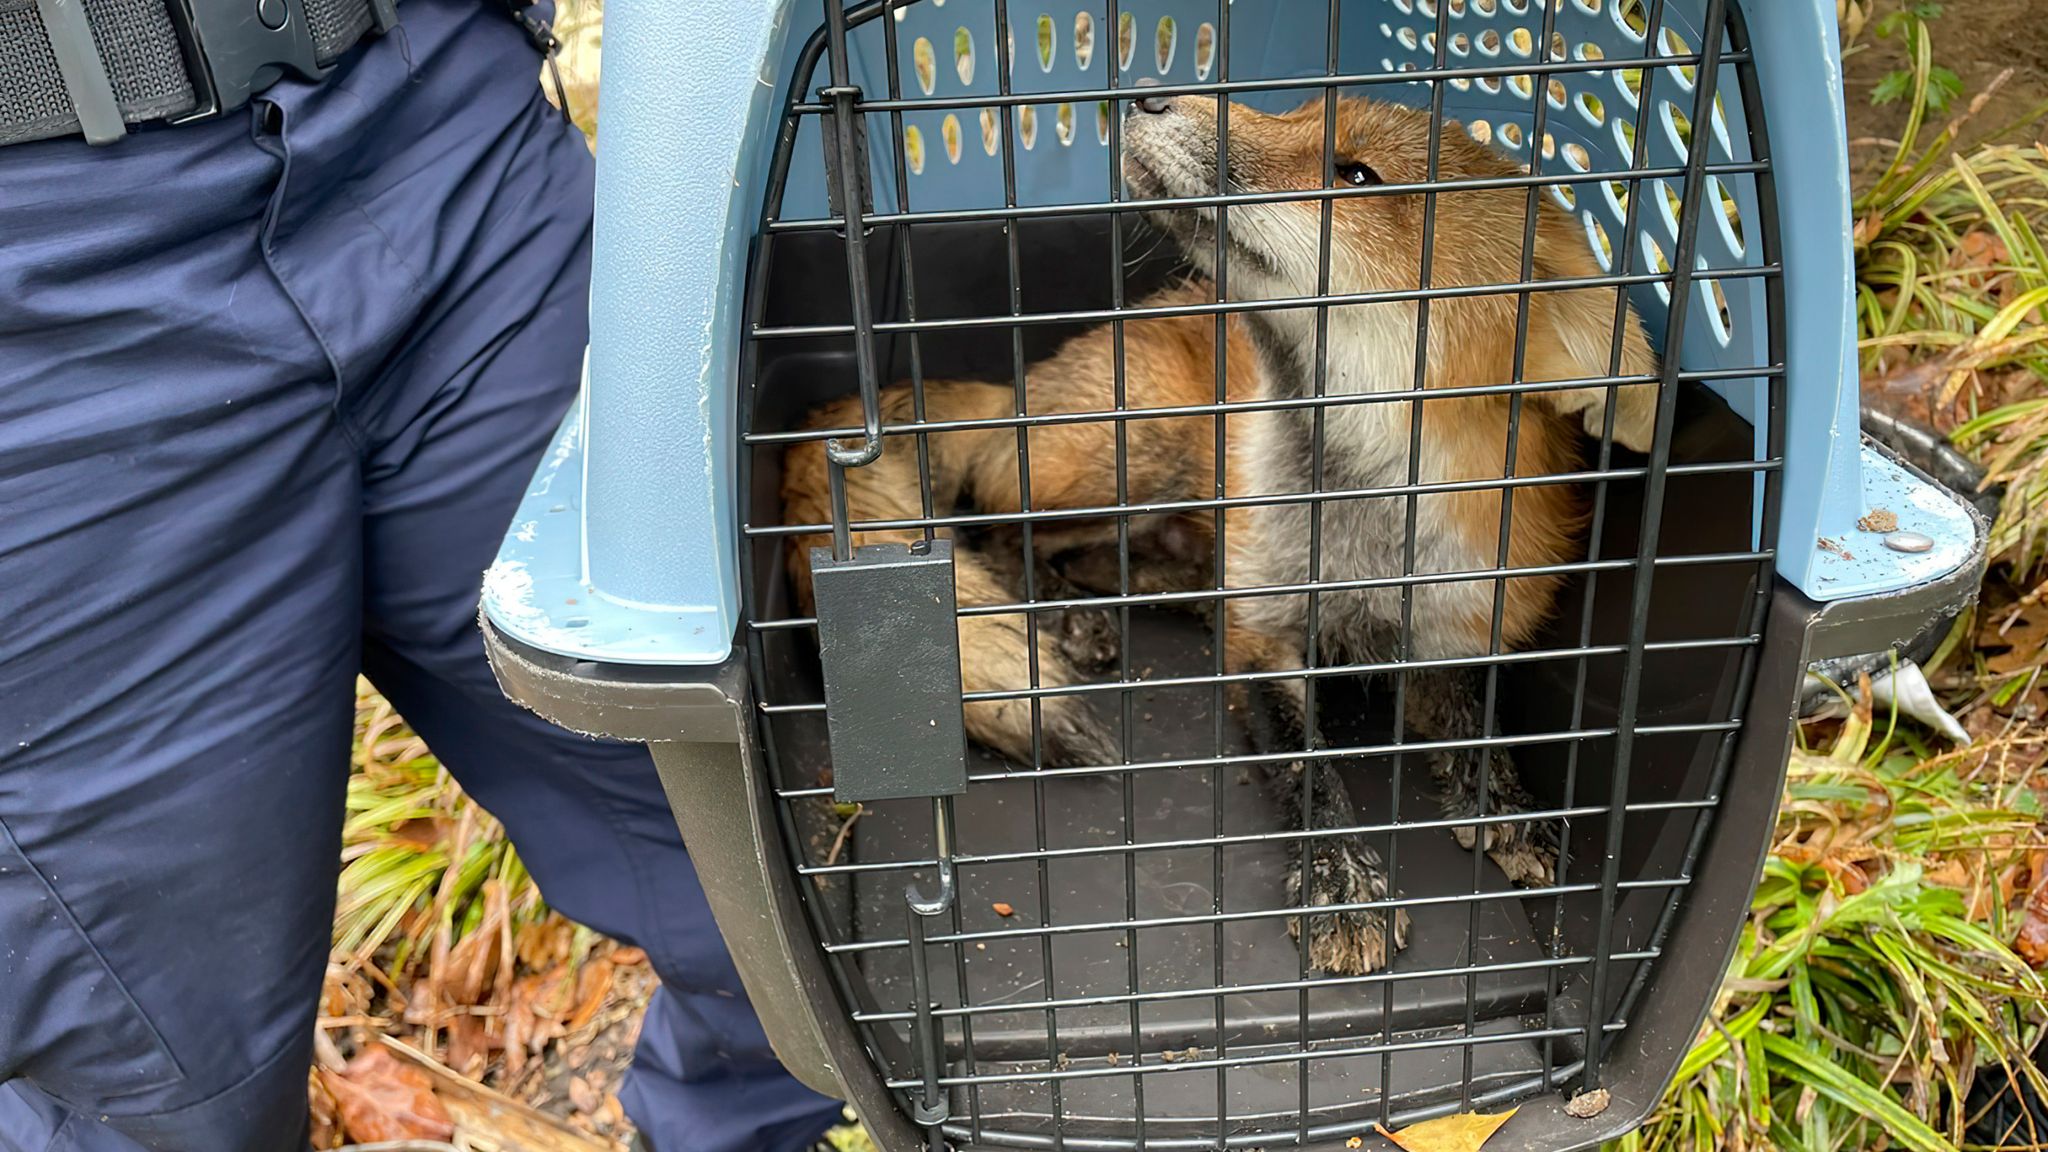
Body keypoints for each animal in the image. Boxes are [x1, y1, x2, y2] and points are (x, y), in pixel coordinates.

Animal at [782, 92, 1660, 976]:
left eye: (1357, 176)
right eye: (1299, 107)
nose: (1149, 94)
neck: (1358, 537)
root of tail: (1021, 389)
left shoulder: (1455, 625)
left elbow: (1480, 723)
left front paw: (1508, 804)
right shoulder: (1264, 639)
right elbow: (1308, 766)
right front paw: (1341, 880)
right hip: (1139, 454)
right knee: (997, 527)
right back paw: (1069, 616)